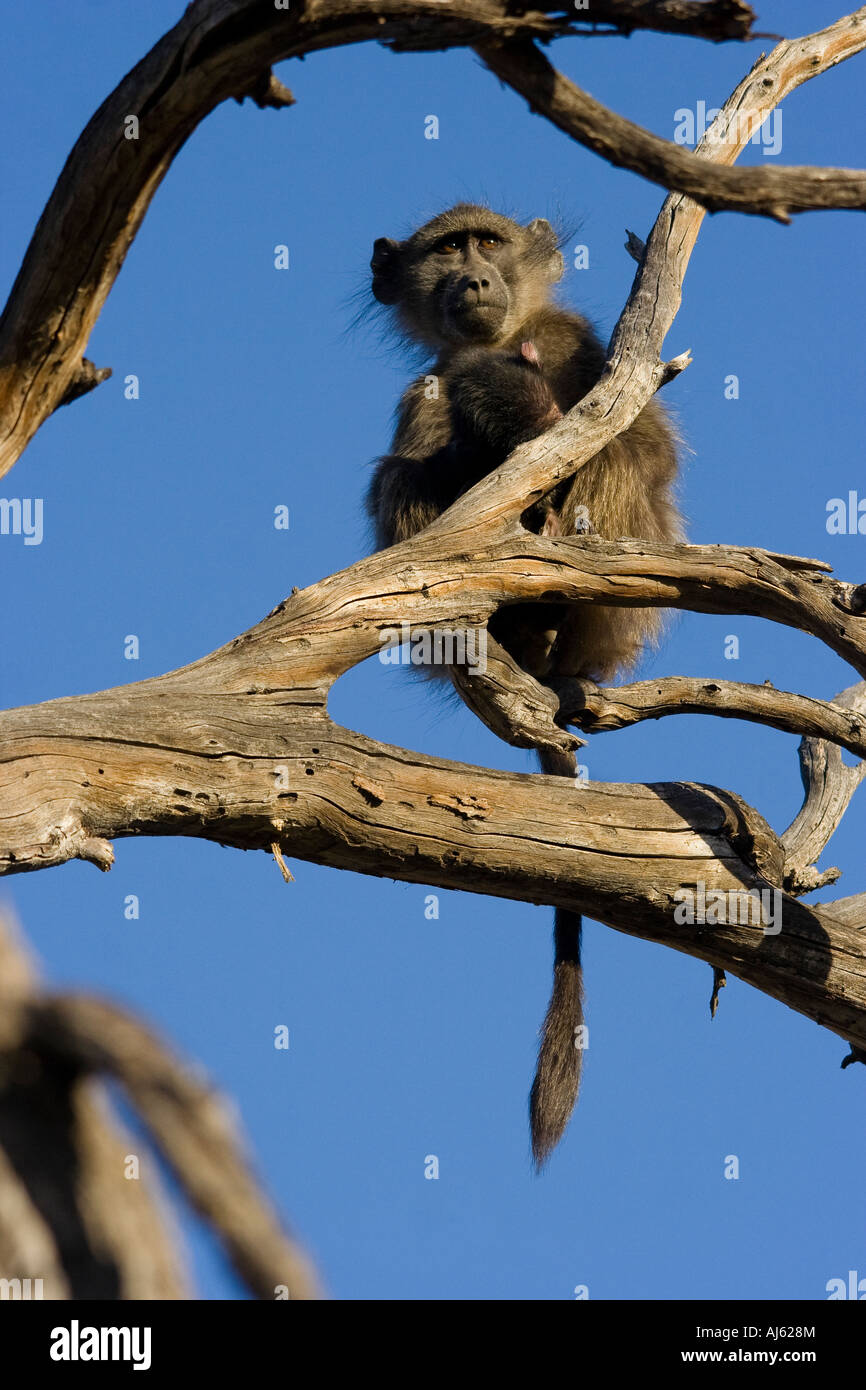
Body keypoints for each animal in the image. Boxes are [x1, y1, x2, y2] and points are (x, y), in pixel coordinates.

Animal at [365, 204, 683, 1166]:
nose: (472, 280)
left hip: (610, 618)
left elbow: (636, 439)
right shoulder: (441, 373)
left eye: (489, 243)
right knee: (409, 456)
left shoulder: (577, 345)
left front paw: (530, 405)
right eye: (445, 250)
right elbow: (426, 413)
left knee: (613, 462)